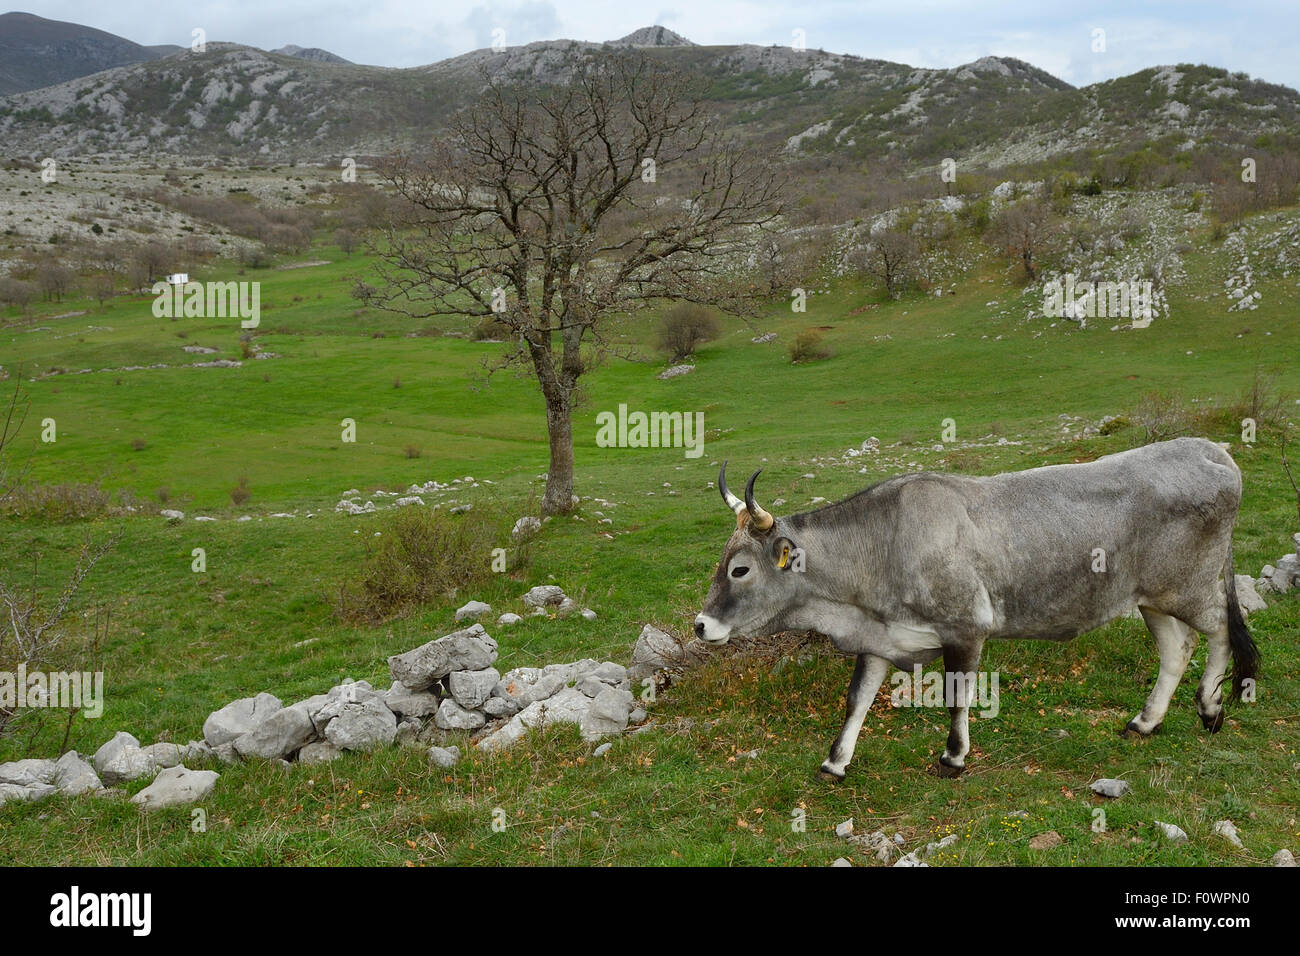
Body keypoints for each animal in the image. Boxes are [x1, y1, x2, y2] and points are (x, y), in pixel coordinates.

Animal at [695, 438, 1259, 780]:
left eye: (740, 569)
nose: (700, 626)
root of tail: (1211, 449)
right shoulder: (879, 637)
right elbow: (856, 700)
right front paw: (836, 761)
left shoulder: (965, 628)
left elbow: (957, 697)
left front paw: (953, 756)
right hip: (1151, 597)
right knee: (1176, 648)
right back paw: (1145, 721)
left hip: (1192, 587)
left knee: (1220, 633)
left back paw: (1210, 709)